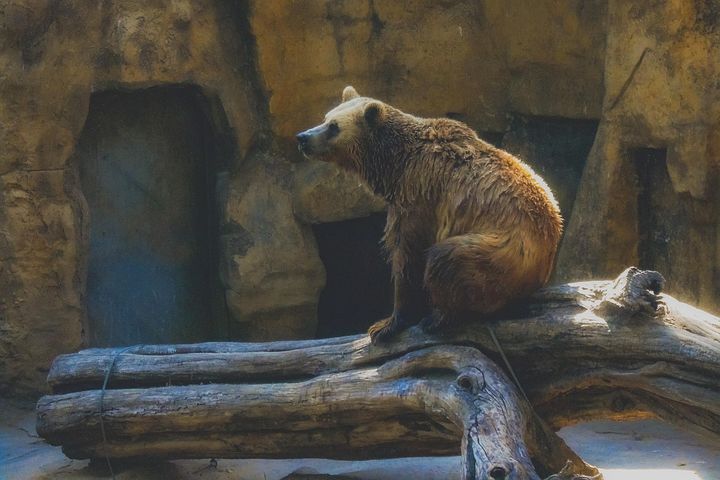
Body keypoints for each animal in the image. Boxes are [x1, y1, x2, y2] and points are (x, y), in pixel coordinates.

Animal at [297, 86, 563, 344]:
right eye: (326, 117)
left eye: (333, 126)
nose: (303, 137)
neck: (394, 164)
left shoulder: (420, 194)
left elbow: (407, 255)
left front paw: (384, 326)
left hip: (501, 252)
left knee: (447, 259)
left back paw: (439, 317)